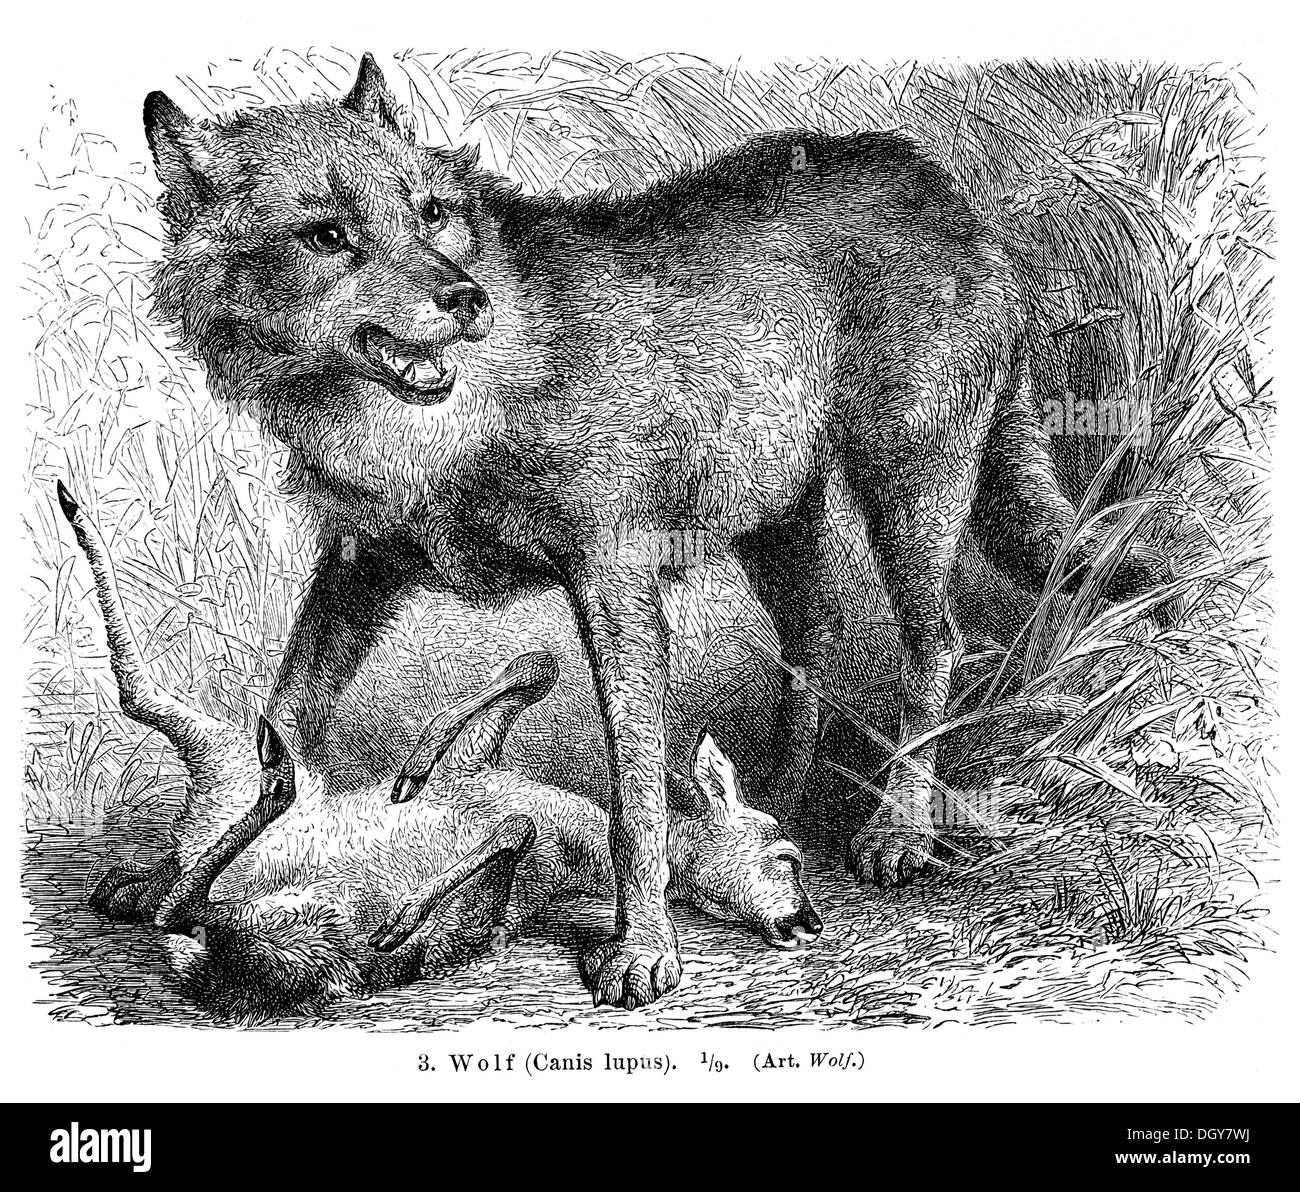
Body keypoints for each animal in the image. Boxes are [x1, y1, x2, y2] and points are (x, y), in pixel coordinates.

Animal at [141, 54, 1172, 1008]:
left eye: (431, 214)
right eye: (328, 236)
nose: (462, 300)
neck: (443, 412)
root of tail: (946, 189)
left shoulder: (615, 582)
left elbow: (633, 794)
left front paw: (643, 951)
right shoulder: (360, 565)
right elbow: (281, 719)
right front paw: (181, 876)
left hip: (912, 487)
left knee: (934, 650)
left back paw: (898, 831)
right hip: (778, 515)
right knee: (814, 642)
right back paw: (779, 795)